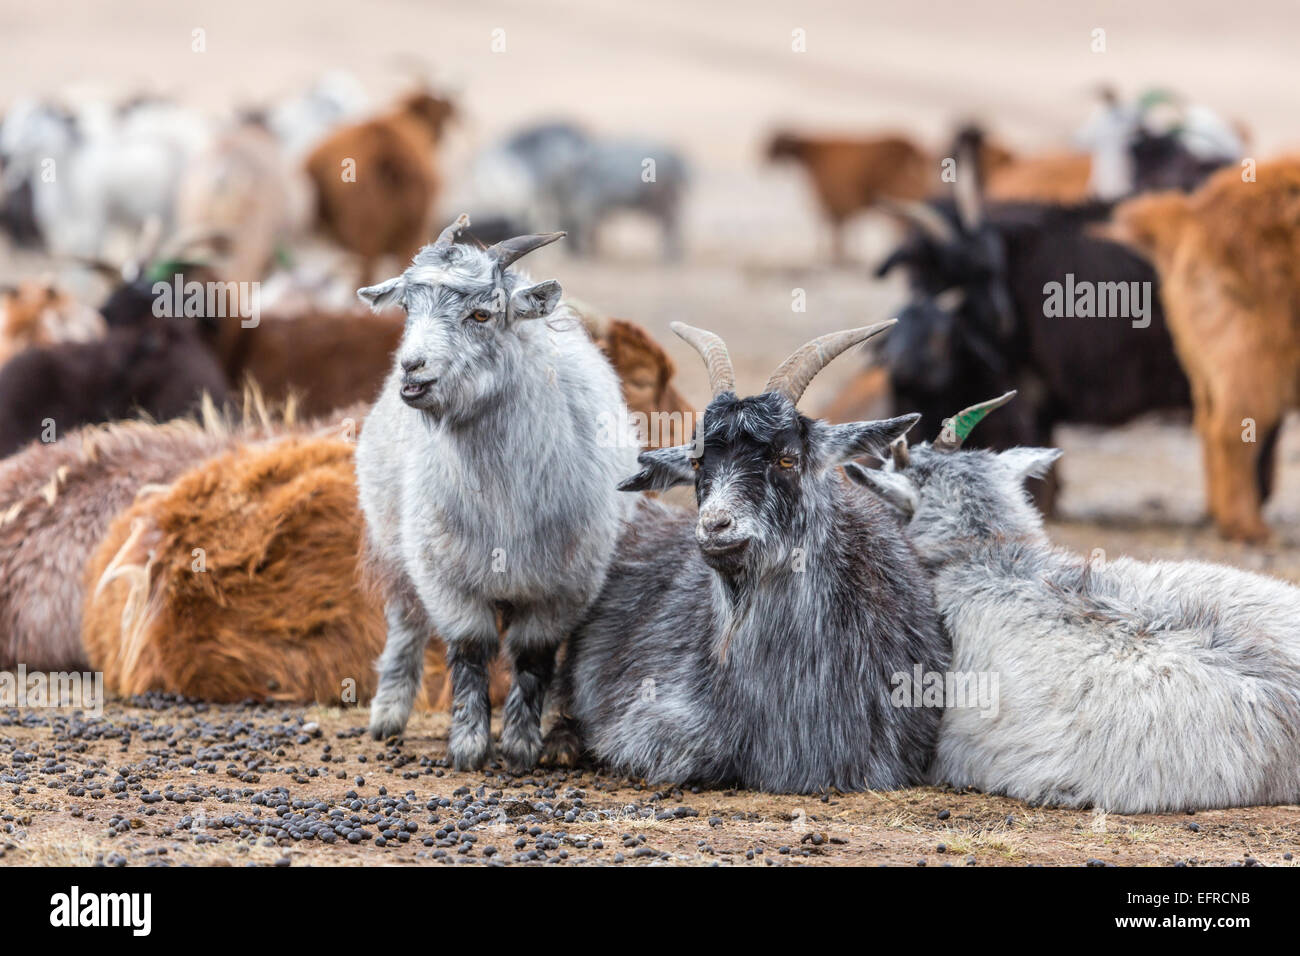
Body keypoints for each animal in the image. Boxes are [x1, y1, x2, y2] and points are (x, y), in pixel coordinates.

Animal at [355, 215, 639, 769]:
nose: (412, 369)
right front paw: (468, 745)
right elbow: (469, 651)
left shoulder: (565, 586)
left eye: (481, 314)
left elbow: (532, 657)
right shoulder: (445, 574)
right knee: (405, 622)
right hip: (395, 546)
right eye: (407, 309)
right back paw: (388, 715)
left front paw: (523, 745)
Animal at [1111, 157, 1300, 542]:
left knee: (1209, 425)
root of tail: (1193, 214)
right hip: (1253, 349)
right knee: (1232, 431)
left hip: (1204, 362)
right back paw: (1246, 526)